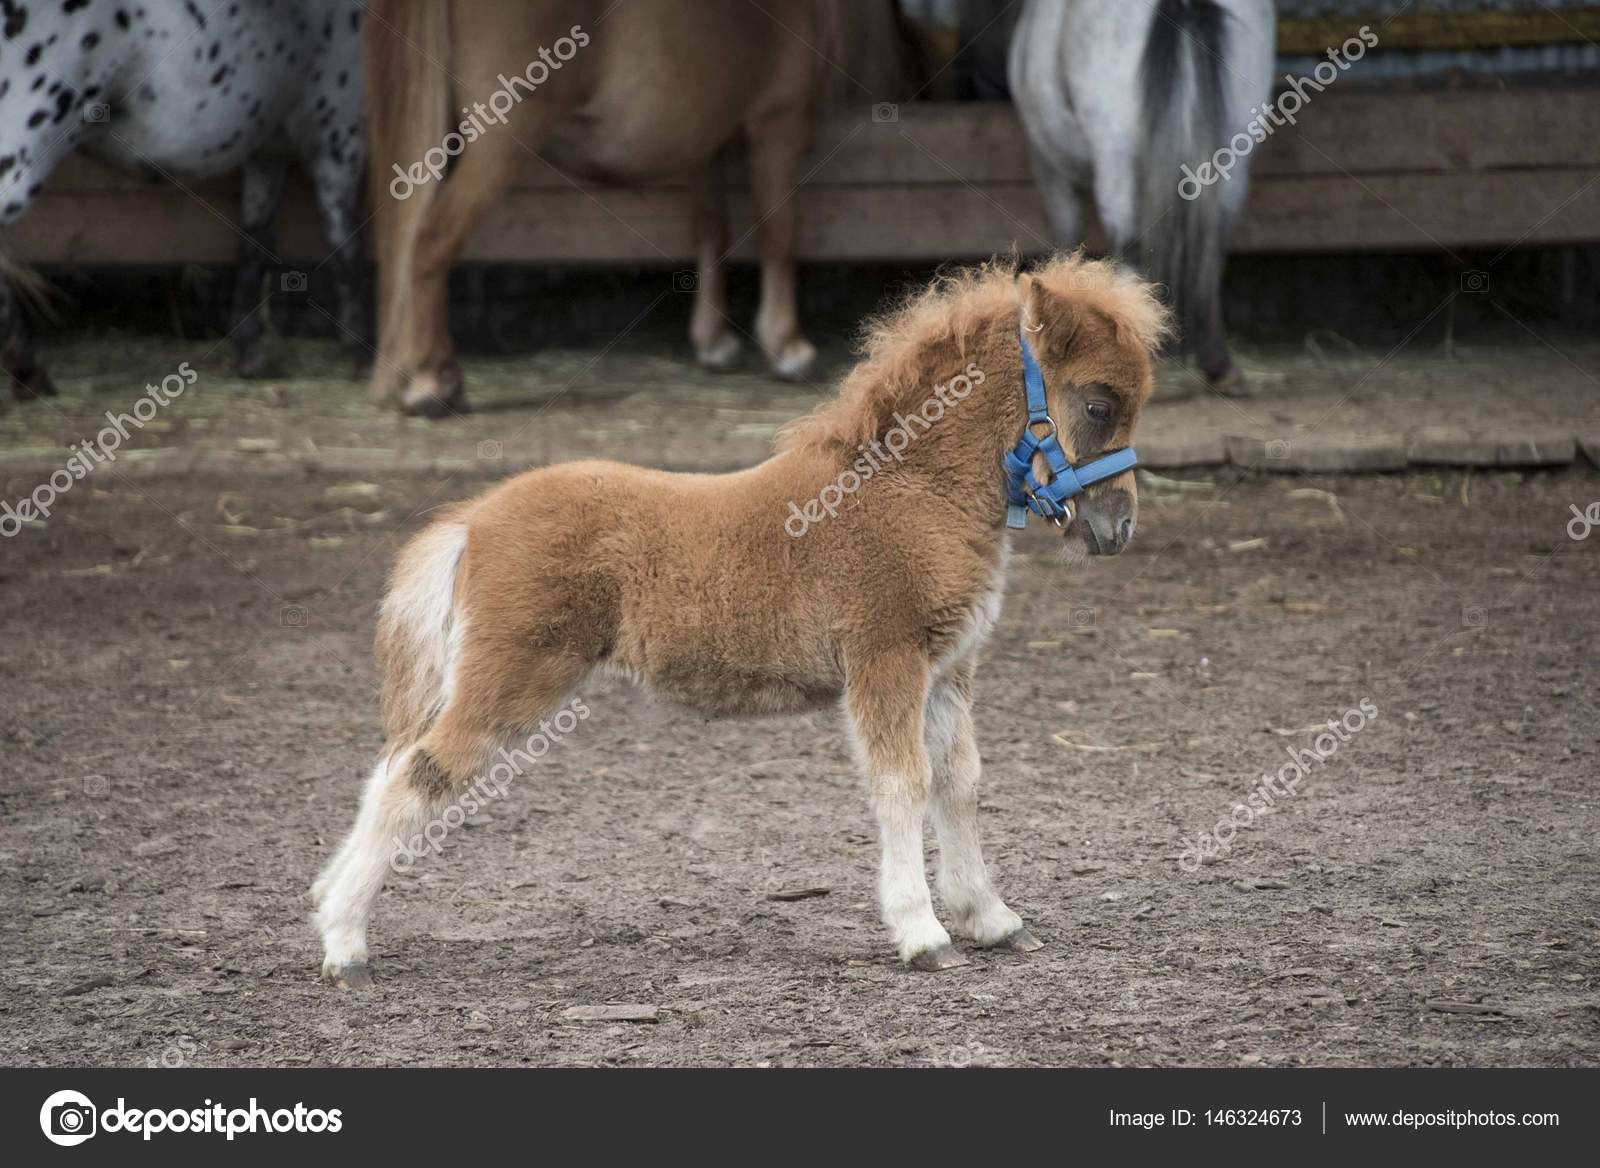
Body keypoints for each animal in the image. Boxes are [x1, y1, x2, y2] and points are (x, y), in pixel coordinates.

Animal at [0, 0, 368, 399]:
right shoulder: (339, 139)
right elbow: (345, 245)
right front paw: (361, 352)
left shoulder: (268, 150)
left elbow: (256, 241)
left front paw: (250, 352)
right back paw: (29, 370)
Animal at [311, 252, 1170, 986]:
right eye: (1099, 403)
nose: (1117, 528)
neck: (911, 491)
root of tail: (474, 521)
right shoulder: (885, 659)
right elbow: (903, 784)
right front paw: (923, 935)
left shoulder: (949, 668)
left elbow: (959, 781)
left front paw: (990, 919)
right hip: (513, 676)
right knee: (416, 776)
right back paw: (345, 946)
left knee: (392, 767)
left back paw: (328, 908)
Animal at [364, 0, 897, 418]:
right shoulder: (778, 119)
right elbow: (779, 233)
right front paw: (787, 346)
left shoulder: (702, 143)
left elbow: (712, 227)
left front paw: (715, 342)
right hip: (502, 137)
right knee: (430, 240)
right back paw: (431, 383)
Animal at [1006, 0, 1275, 395]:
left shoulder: (1050, 167)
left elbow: (1066, 241)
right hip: (1235, 147)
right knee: (1212, 247)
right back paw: (1219, 365)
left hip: (1114, 150)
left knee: (1132, 245)